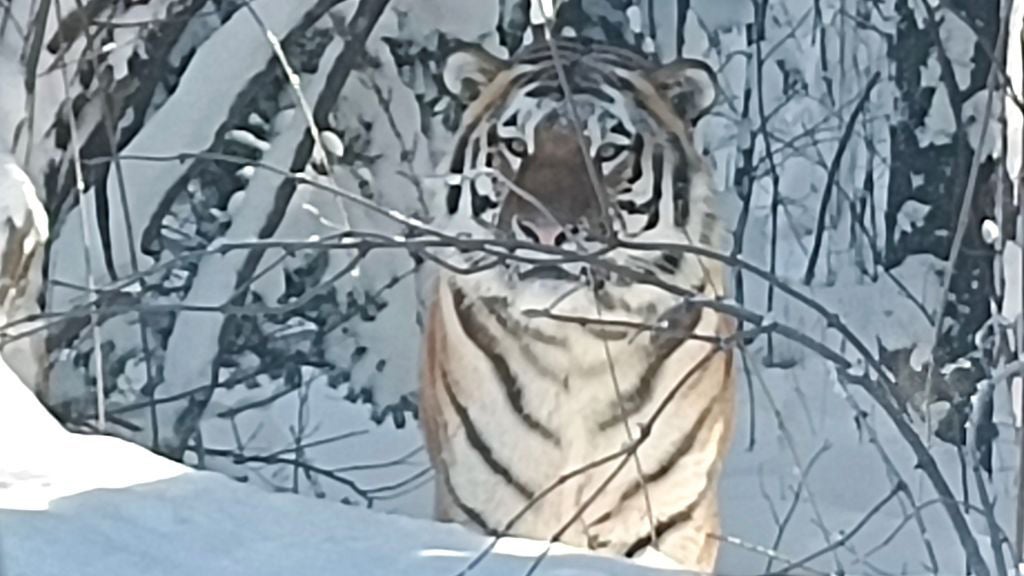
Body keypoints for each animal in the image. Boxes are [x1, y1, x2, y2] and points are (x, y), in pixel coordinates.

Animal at [418, 37, 735, 572]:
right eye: (516, 146)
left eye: (606, 152)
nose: (545, 232)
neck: (577, 341)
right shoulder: (481, 510)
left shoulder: (673, 521)